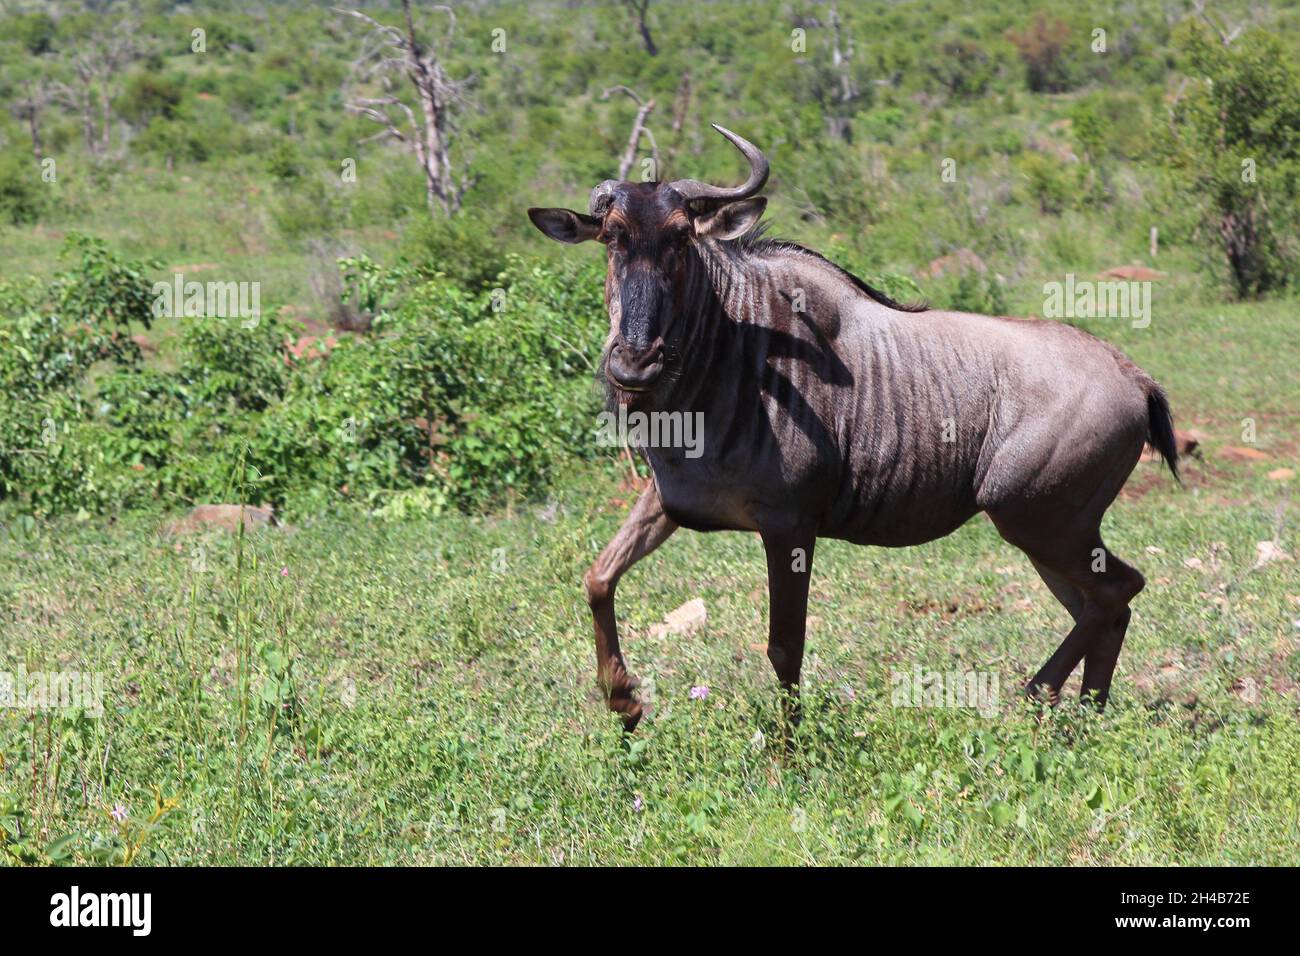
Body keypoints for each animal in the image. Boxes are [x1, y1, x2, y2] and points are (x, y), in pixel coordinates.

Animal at [528, 124, 1179, 730]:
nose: (634, 364)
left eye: (682, 238)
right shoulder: (669, 502)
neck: (730, 354)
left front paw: (787, 755)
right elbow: (598, 577)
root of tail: (1135, 376)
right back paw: (1085, 717)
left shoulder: (788, 527)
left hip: (1036, 520)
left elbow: (784, 648)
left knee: (1115, 592)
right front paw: (624, 701)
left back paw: (1039, 696)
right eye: (612, 237)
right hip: (1050, 533)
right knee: (1103, 604)